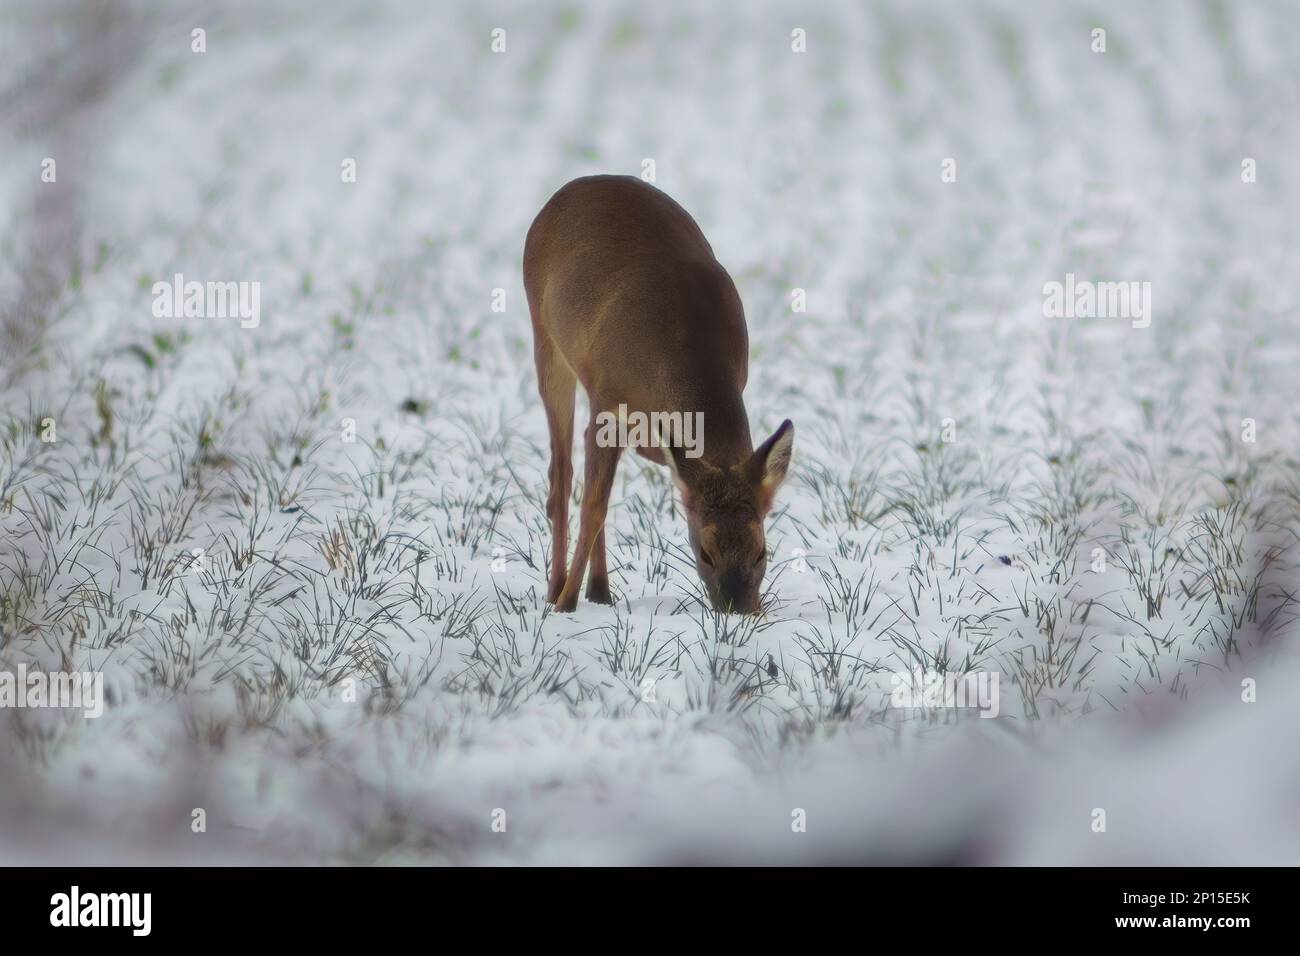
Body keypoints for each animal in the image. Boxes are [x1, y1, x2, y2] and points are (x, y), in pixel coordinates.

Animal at [523, 175, 794, 615]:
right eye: (705, 554)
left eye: (761, 552)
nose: (739, 611)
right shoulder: (608, 402)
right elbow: (593, 505)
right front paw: (566, 605)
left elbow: (602, 500)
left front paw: (591, 594)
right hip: (545, 337)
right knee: (561, 474)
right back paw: (558, 590)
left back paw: (599, 592)